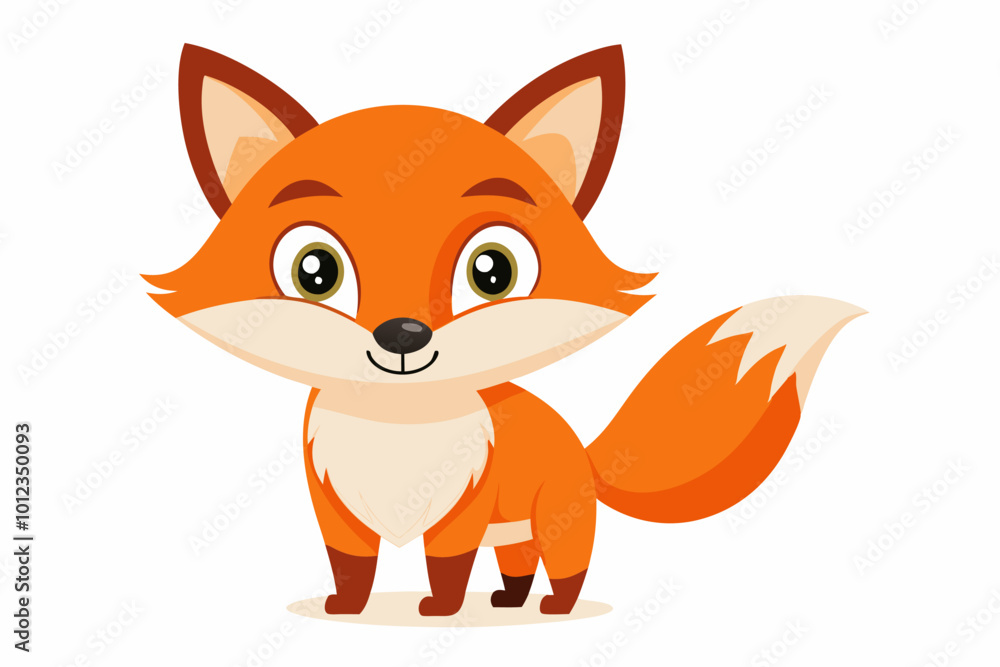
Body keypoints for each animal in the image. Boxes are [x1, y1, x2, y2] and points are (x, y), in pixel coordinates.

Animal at [145, 44, 863, 617]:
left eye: (492, 270)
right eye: (315, 270)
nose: (401, 333)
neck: (398, 430)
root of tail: (584, 451)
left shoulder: (463, 509)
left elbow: (445, 566)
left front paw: (439, 610)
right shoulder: (336, 508)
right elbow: (352, 568)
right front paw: (347, 609)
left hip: (557, 519)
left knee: (569, 567)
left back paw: (552, 608)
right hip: (515, 533)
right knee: (517, 566)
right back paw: (508, 600)